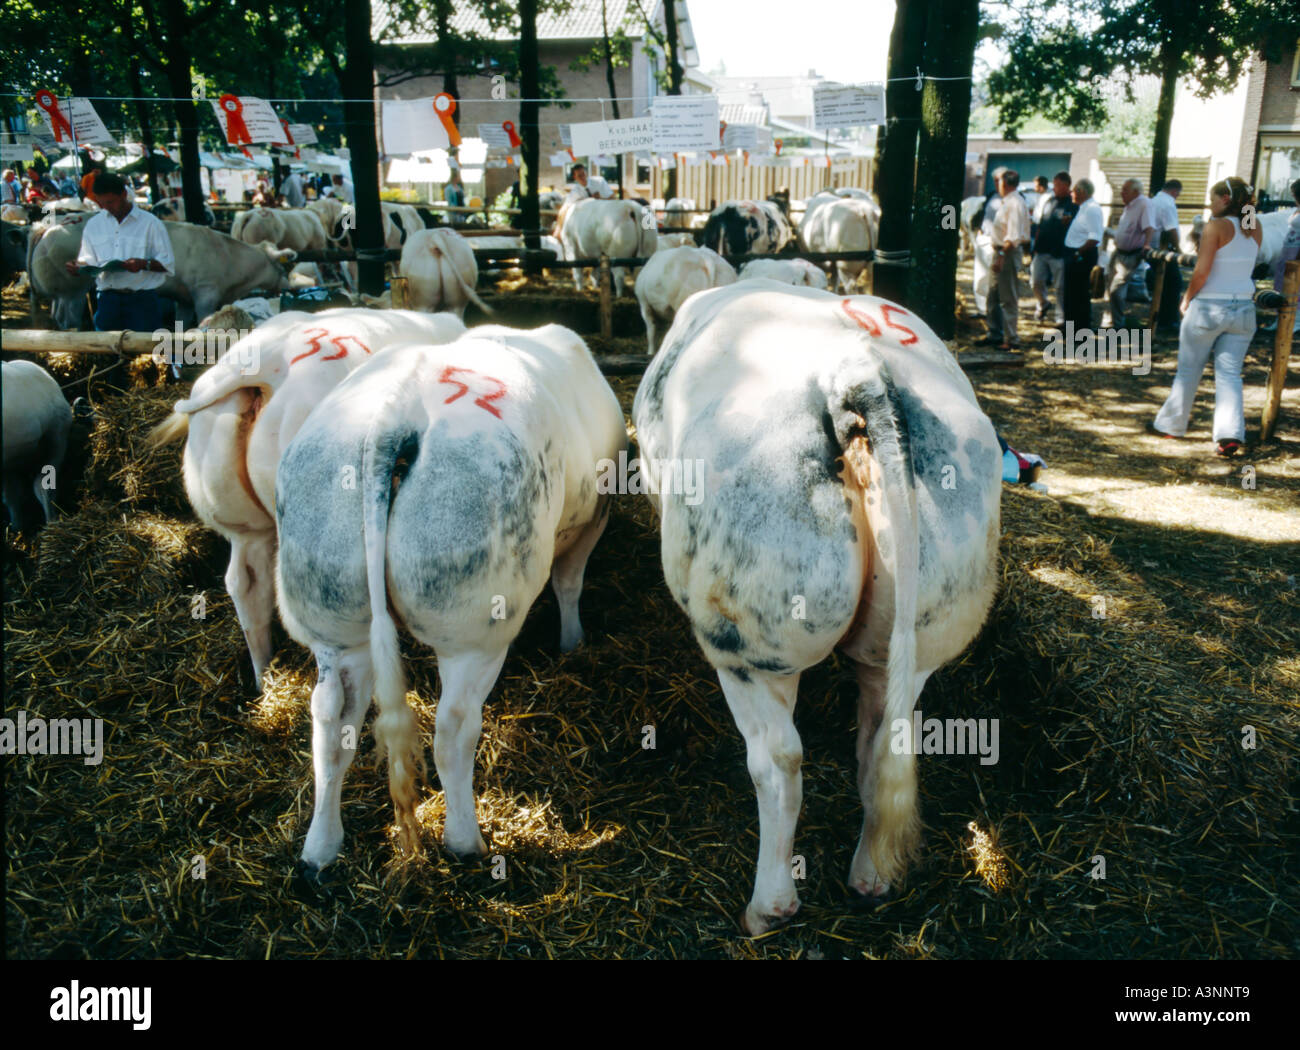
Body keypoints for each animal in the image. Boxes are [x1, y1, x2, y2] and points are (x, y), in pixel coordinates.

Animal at [3, 360, 73, 531]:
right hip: (12, 460)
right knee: (13, 496)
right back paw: (17, 528)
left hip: (58, 434)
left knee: (42, 487)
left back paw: (51, 524)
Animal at [27, 216, 296, 330]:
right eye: (284, 266)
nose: (289, 286)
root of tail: (49, 229)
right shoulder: (205, 293)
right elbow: (204, 320)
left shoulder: (184, 299)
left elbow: (183, 325)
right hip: (72, 291)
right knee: (68, 319)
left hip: (61, 294)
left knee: (58, 317)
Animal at [274, 323, 626, 873]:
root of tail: (394, 412)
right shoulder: (593, 519)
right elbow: (569, 585)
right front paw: (573, 643)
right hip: (473, 630)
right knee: (452, 729)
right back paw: (465, 842)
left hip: (332, 616)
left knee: (332, 722)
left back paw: (320, 850)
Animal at [632, 280, 1001, 936]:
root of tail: (855, 374)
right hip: (922, 625)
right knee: (884, 741)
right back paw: (871, 878)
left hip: (751, 646)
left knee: (778, 763)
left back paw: (768, 907)